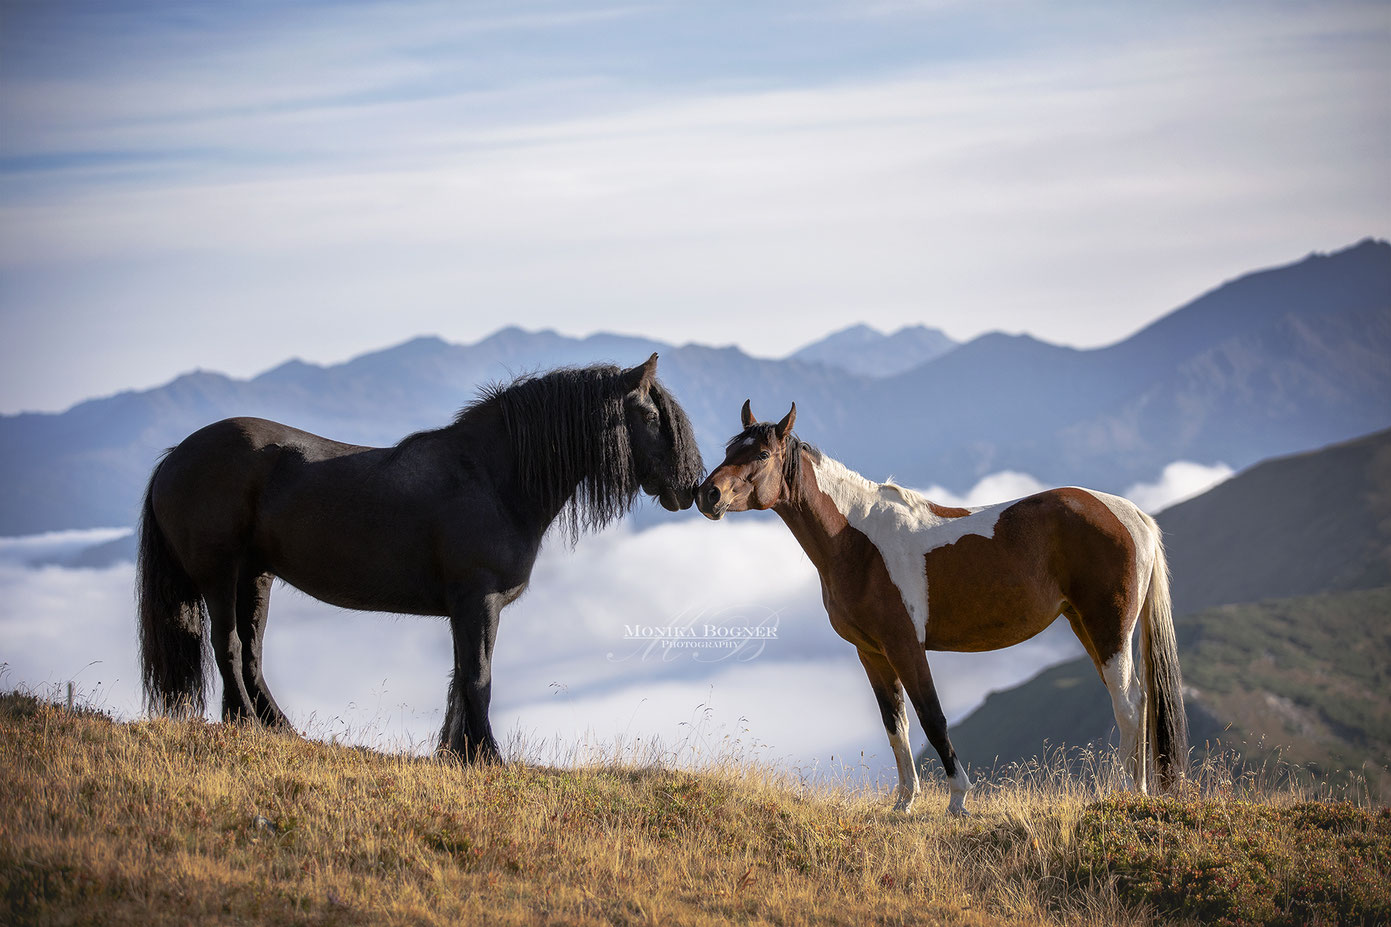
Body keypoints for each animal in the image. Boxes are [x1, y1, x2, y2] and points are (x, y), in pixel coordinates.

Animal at [137, 354, 704, 763]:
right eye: (651, 414)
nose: (692, 488)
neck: (493, 479)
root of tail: (173, 457)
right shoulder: (478, 600)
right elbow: (478, 680)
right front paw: (488, 758)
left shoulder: (465, 609)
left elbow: (461, 678)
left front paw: (456, 753)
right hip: (219, 573)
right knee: (229, 646)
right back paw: (251, 726)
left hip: (255, 576)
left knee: (251, 654)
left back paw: (278, 731)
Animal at [695, 401, 1187, 815]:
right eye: (729, 449)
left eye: (761, 453)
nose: (708, 495)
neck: (858, 540)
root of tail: (1132, 515)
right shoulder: (872, 653)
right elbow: (896, 725)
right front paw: (903, 804)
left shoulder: (905, 646)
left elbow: (932, 718)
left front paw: (957, 800)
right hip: (1086, 625)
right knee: (1139, 699)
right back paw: (1138, 791)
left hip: (1108, 627)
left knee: (1127, 703)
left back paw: (1121, 793)